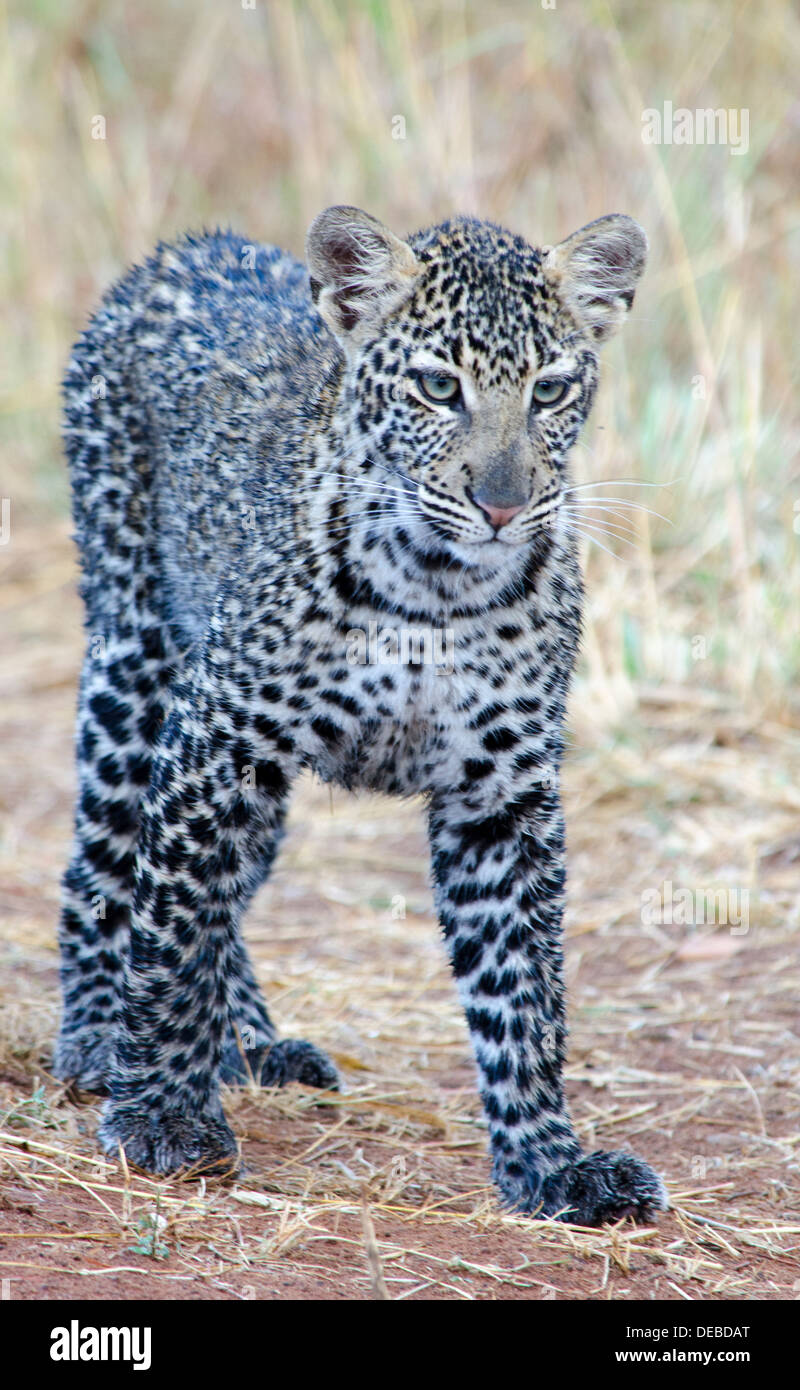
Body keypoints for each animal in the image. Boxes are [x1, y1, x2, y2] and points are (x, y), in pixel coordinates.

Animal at [54, 203, 668, 1225]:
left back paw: (250, 1046)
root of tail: (189, 248)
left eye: (549, 390)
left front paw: (550, 1164)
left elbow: (524, 992)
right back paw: (99, 1038)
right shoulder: (221, 732)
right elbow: (175, 934)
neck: (436, 588)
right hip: (136, 662)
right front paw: (163, 1114)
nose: (502, 507)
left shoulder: (499, 794)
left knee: (221, 893)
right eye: (437, 386)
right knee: (108, 867)